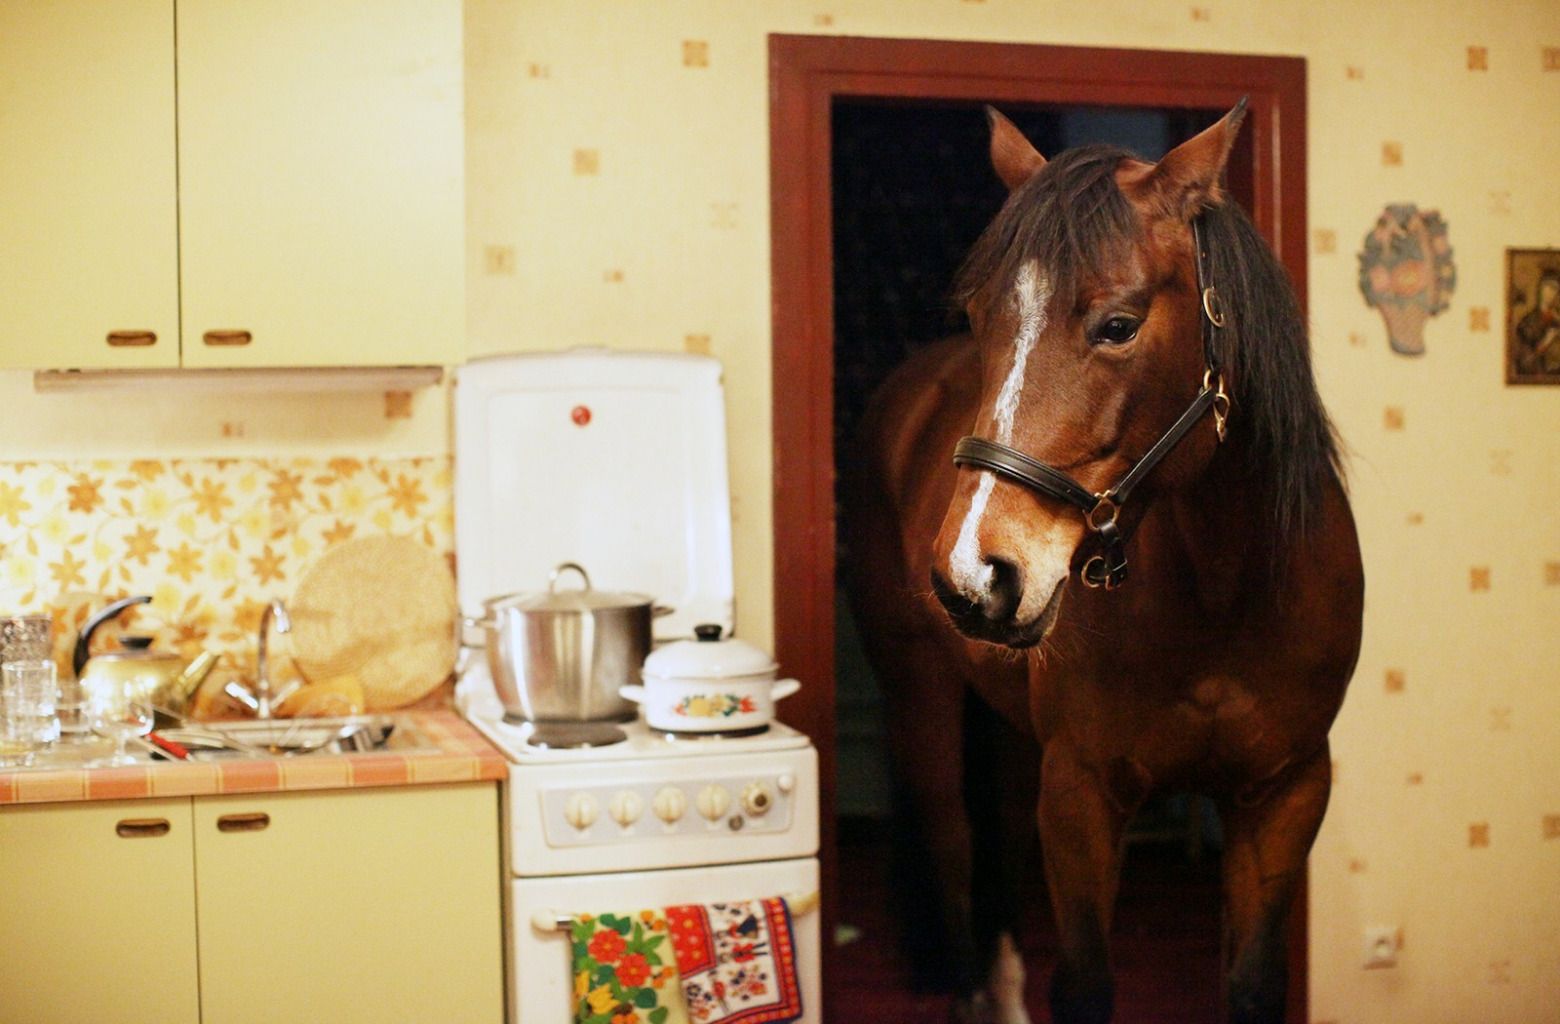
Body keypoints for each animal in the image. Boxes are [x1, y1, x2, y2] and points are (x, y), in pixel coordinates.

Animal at [842, 102, 1363, 1024]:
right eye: (980, 318)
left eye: (1117, 325)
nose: (975, 574)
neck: (1223, 589)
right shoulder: (1082, 796)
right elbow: (1083, 985)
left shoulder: (1286, 795)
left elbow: (1254, 983)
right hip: (921, 700)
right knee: (955, 858)